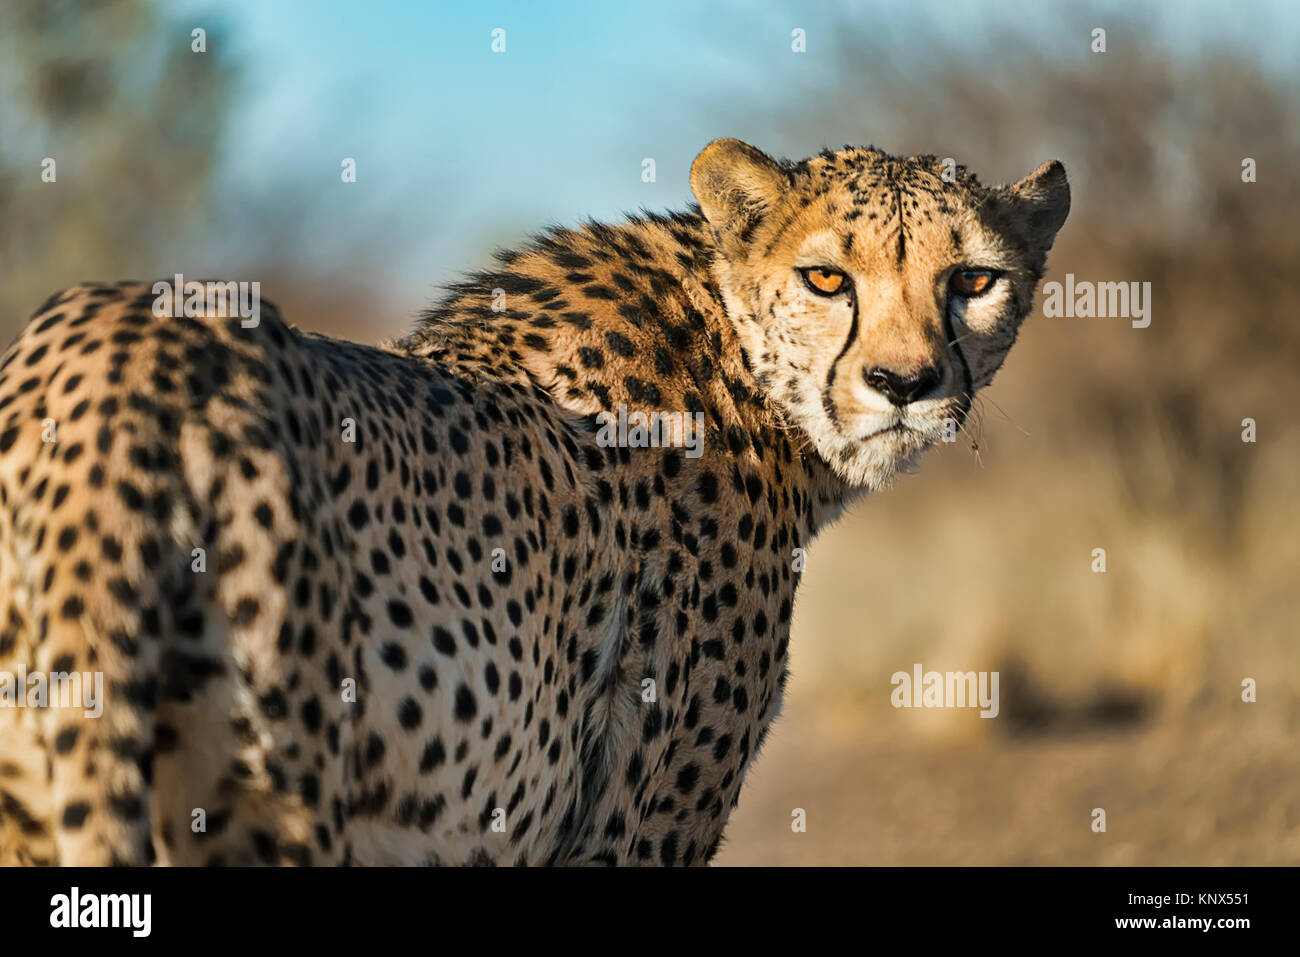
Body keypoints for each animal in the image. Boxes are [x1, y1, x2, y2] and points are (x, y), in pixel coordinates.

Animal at [0, 138, 1068, 865]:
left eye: (974, 279)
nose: (905, 382)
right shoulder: (630, 832)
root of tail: (113, 338)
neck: (735, 356)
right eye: (826, 277)